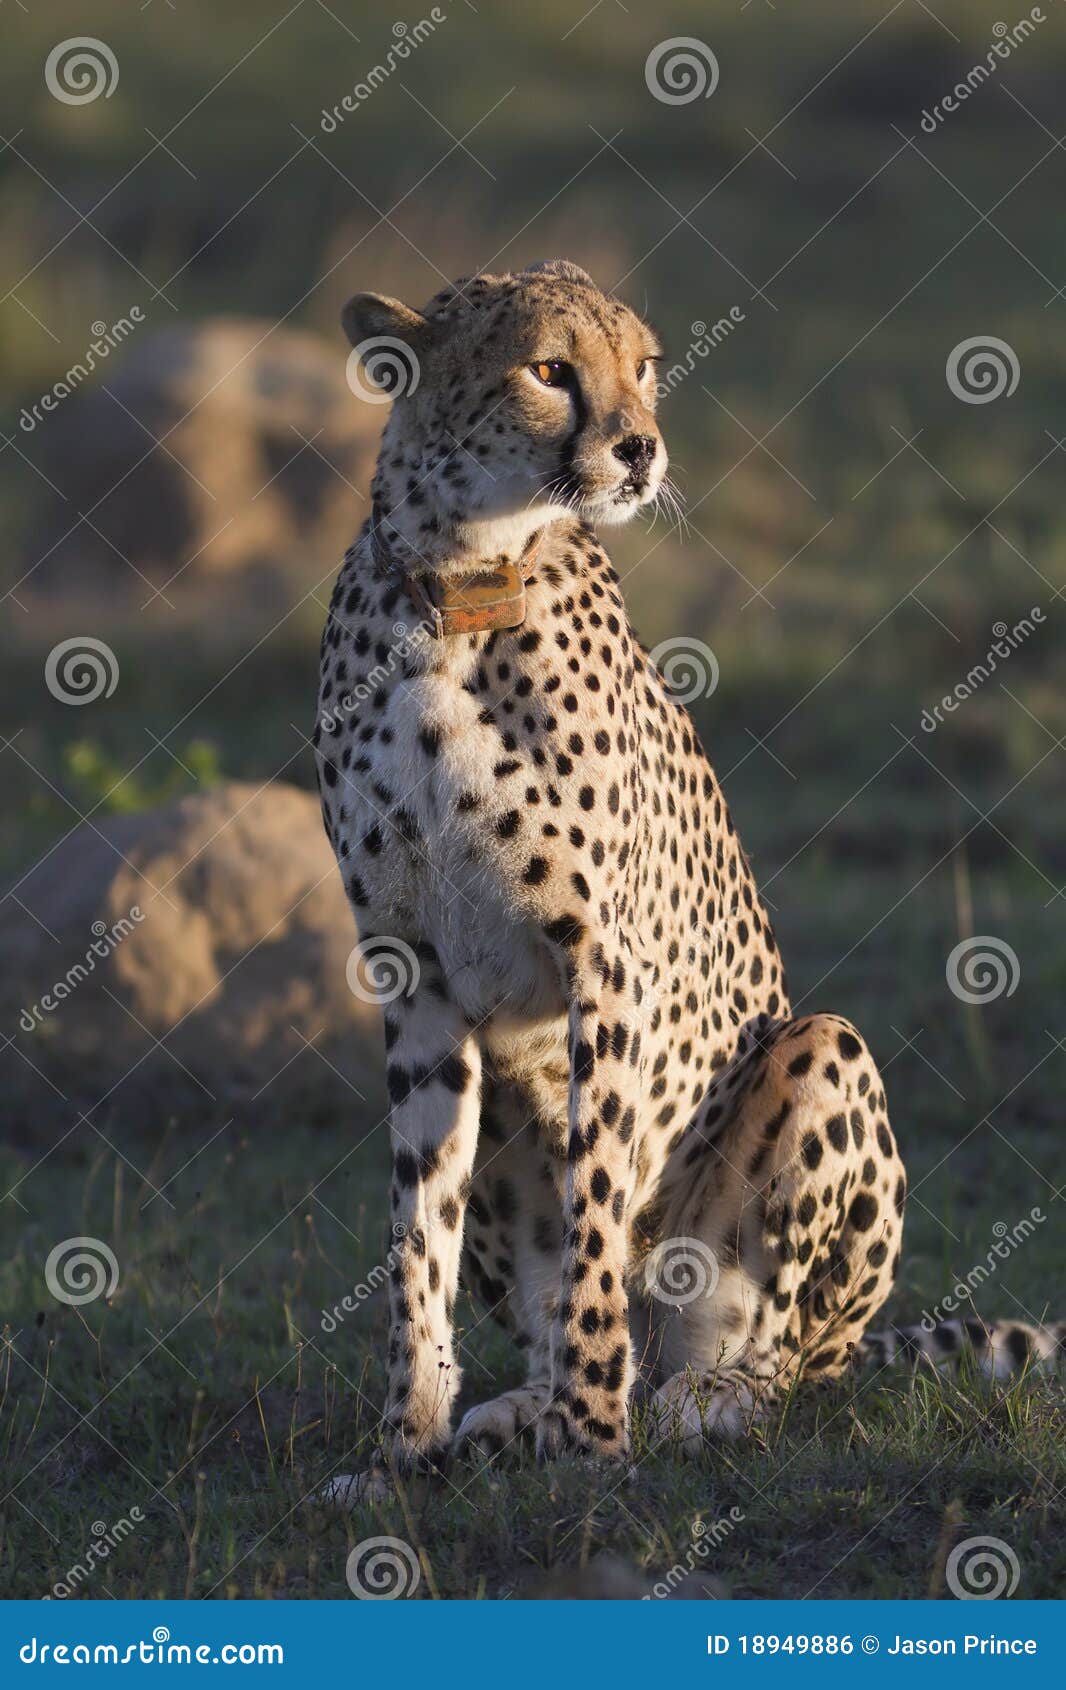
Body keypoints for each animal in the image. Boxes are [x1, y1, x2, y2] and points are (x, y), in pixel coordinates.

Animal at [313, 260, 1061, 1500]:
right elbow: (415, 1235)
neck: (464, 582)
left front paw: (590, 1448)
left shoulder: (606, 967)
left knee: (782, 1354)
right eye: (549, 368)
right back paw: (515, 1408)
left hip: (821, 1057)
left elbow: (597, 1212)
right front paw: (400, 1451)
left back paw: (695, 1396)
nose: (640, 449)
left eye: (645, 366)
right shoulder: (410, 973)